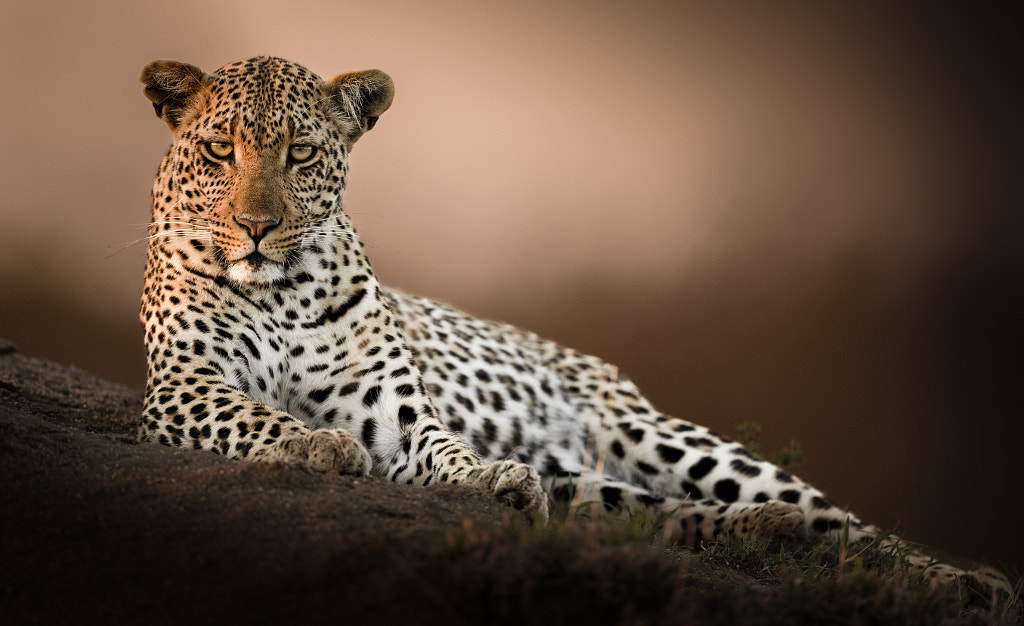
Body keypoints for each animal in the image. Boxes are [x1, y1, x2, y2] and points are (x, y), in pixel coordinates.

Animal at [138, 56, 1009, 600]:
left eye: (301, 153)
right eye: (220, 149)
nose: (255, 228)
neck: (281, 291)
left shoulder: (397, 418)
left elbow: (444, 450)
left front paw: (487, 476)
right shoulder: (180, 386)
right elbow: (253, 412)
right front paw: (316, 444)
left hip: (663, 435)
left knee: (847, 526)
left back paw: (962, 582)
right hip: (594, 483)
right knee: (649, 514)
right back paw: (765, 534)